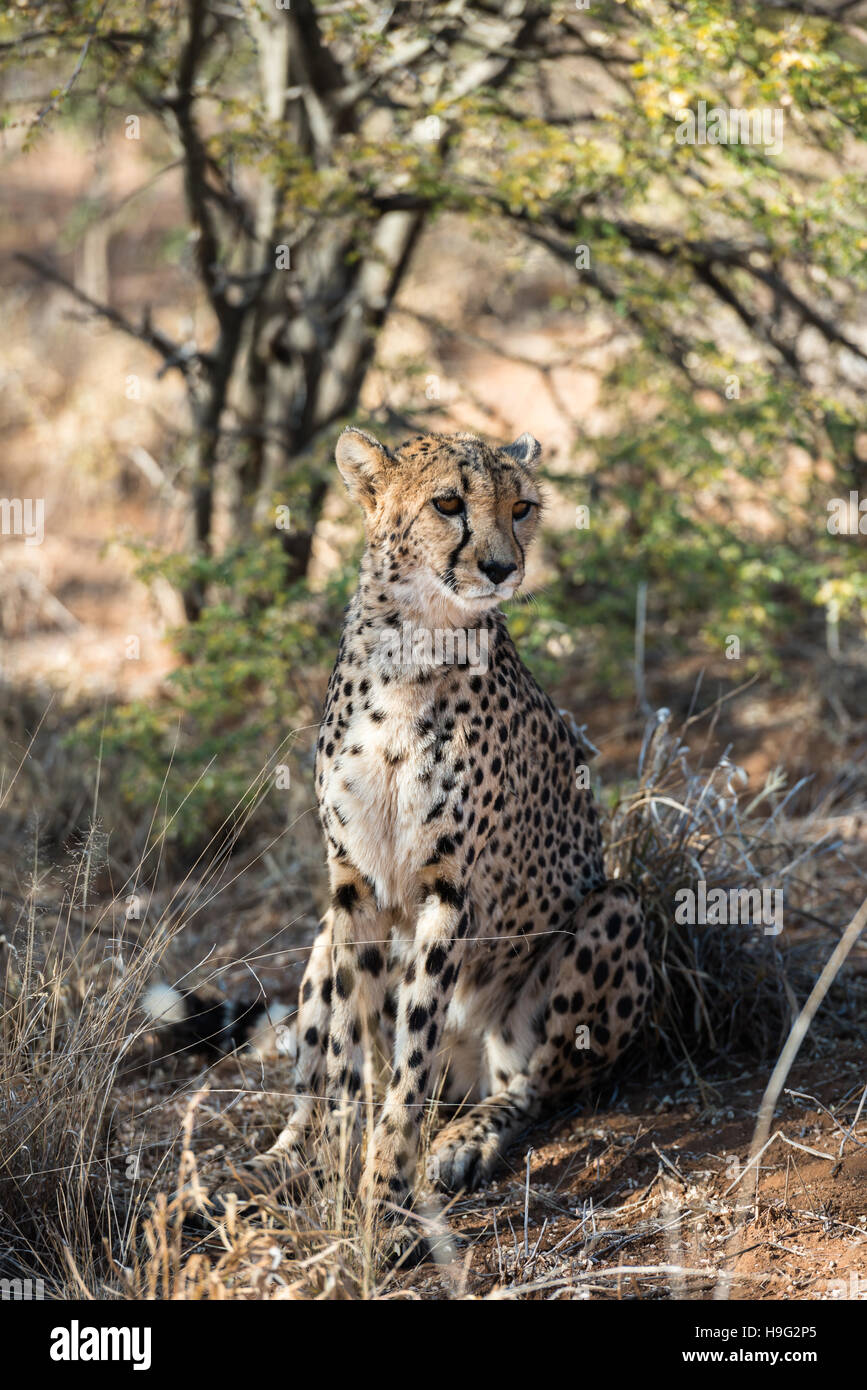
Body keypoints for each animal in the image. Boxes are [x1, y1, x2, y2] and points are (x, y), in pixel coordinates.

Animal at [256, 426, 651, 1225]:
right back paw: (269, 1165)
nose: (502, 567)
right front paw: (340, 1175)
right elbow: (353, 1048)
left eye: (522, 507)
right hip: (323, 927)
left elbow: (407, 1056)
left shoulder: (448, 889)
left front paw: (384, 1189)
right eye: (447, 504)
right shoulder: (353, 884)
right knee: (311, 1077)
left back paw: (462, 1139)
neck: (412, 646)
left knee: (530, 1082)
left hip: (610, 916)